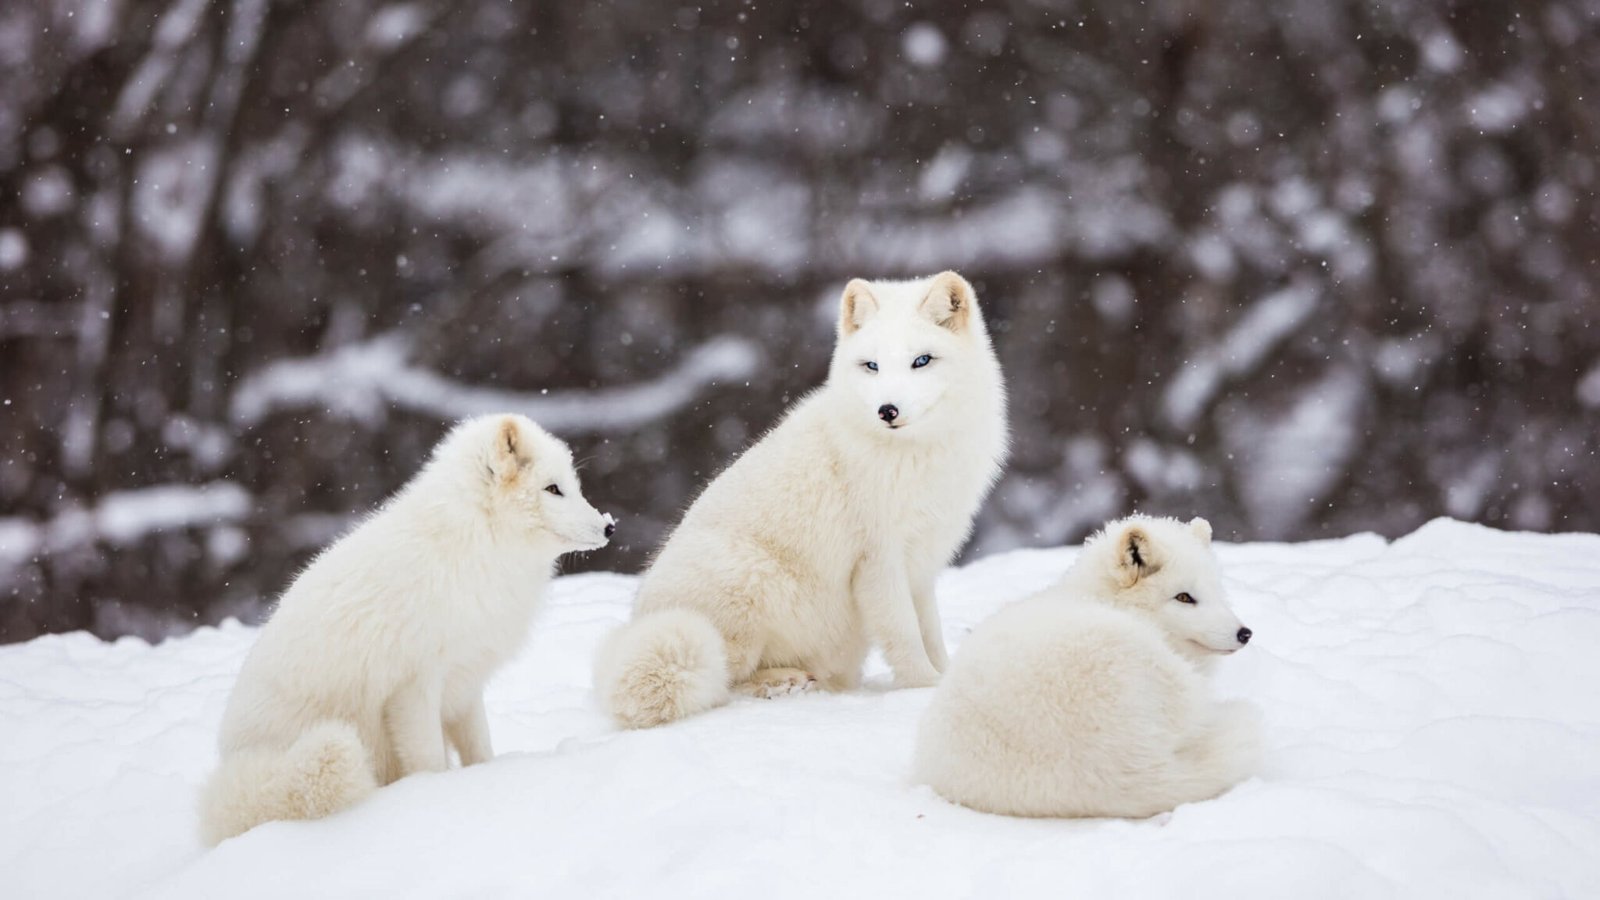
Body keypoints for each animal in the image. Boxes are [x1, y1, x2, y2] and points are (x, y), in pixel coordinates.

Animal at [594, 271, 1008, 728]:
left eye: (922, 360)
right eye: (872, 365)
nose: (887, 410)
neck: (917, 455)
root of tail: (636, 624)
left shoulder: (921, 562)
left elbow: (930, 632)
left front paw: (946, 675)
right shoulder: (878, 560)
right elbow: (904, 635)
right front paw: (924, 688)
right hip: (745, 583)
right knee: (722, 685)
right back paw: (780, 683)